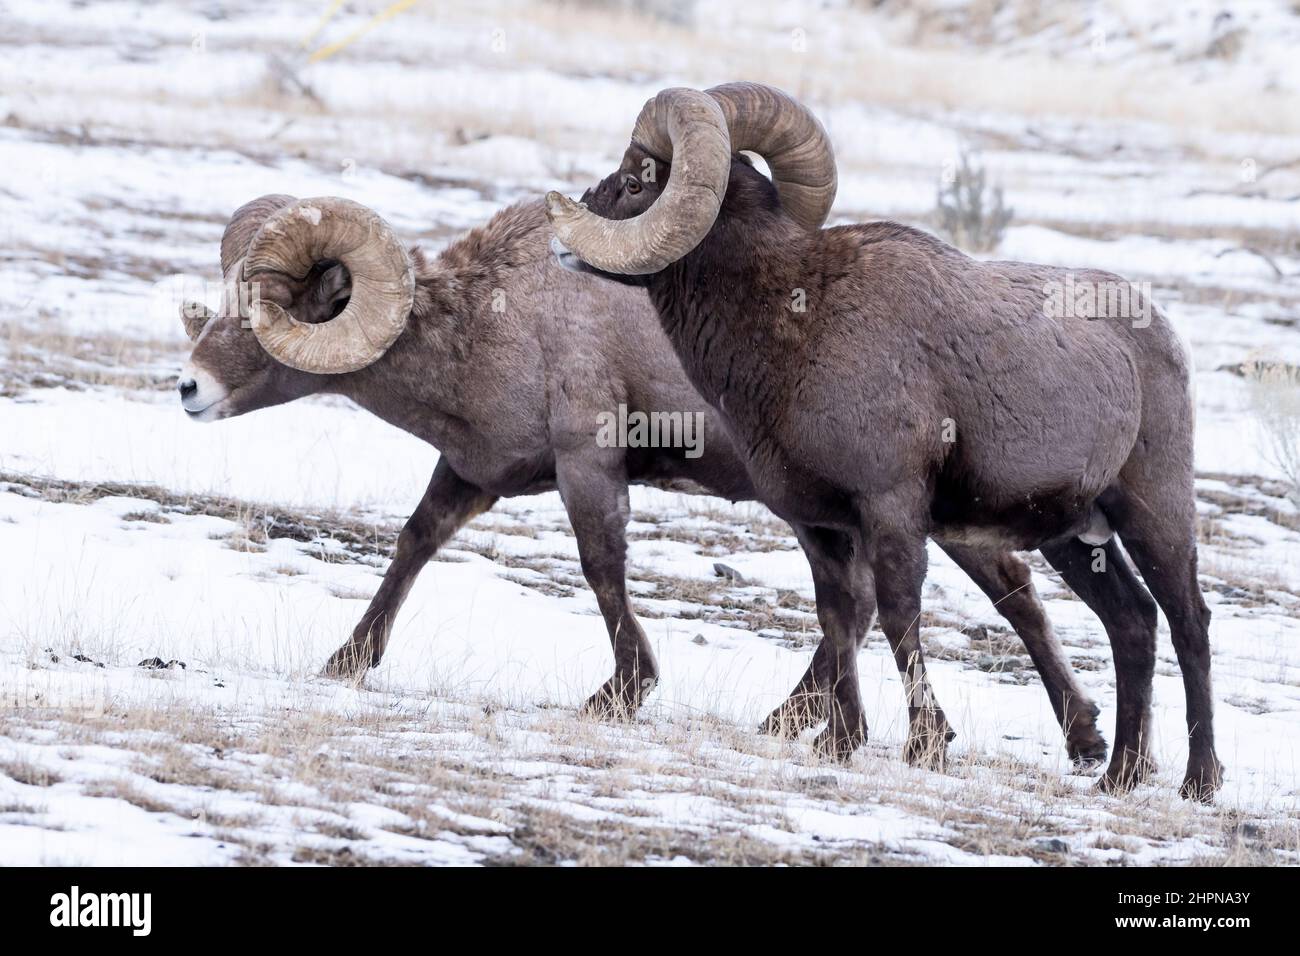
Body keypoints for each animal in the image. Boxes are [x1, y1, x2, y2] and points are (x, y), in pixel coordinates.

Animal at [177, 192, 1107, 765]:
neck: (493, 323)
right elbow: (413, 545)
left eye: (270, 308)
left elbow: (602, 568)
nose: (189, 388)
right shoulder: (470, 475)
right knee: (991, 594)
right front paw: (347, 660)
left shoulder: (589, 464)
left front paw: (621, 694)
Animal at [546, 82, 1221, 800]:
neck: (792, 322)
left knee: (1188, 623)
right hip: (1073, 539)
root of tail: (1162, 336)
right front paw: (841, 741)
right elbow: (838, 617)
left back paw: (1199, 783)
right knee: (1133, 622)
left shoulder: (891, 508)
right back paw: (1119, 775)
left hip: (1153, 517)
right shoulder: (819, 524)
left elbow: (898, 615)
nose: (564, 236)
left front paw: (926, 745)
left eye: (636, 179)